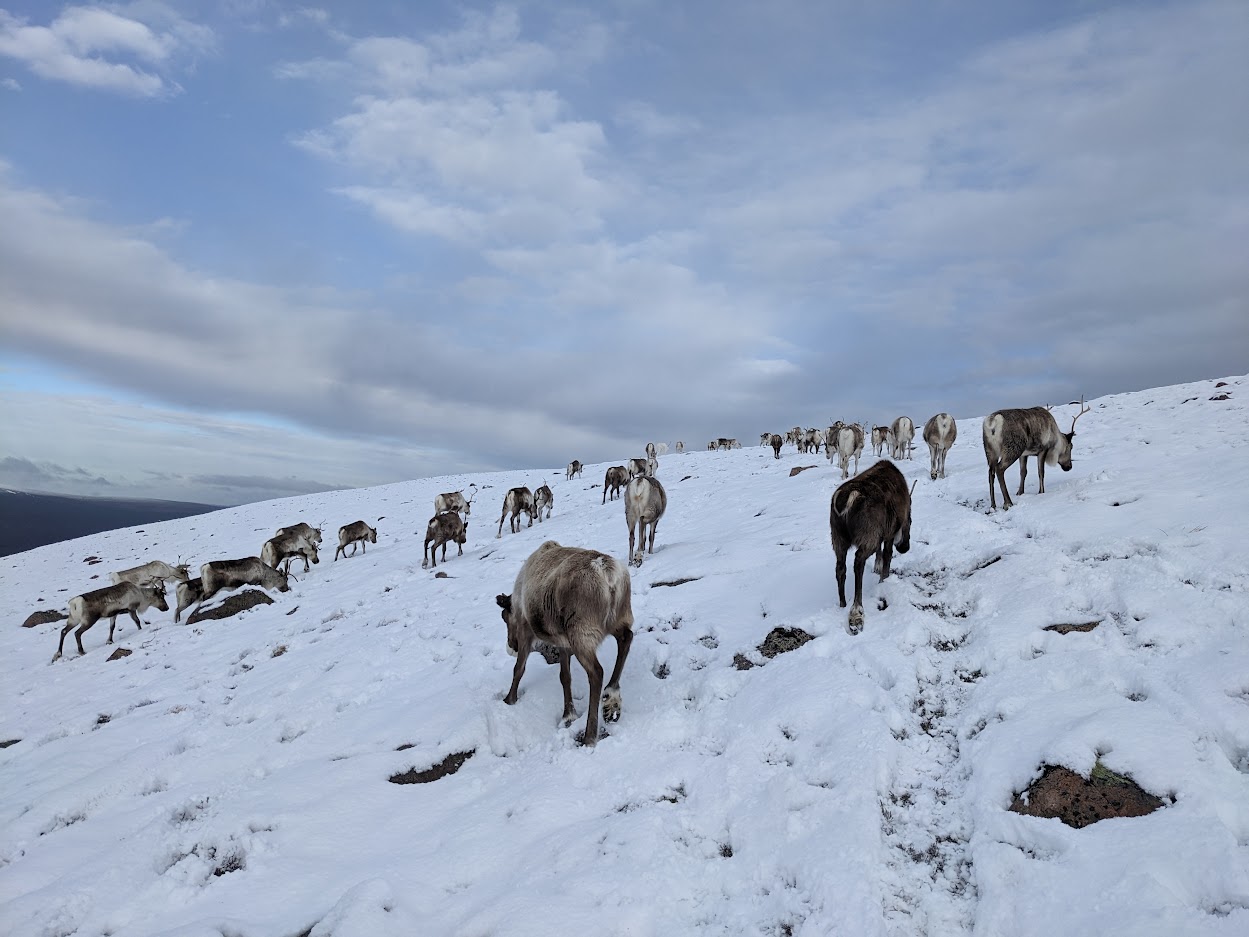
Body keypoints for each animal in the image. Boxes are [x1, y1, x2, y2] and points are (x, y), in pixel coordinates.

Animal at [496, 541, 634, 747]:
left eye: (505, 617)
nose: (511, 646)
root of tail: (608, 574)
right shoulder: (562, 641)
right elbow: (564, 677)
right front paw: (568, 714)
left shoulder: (525, 628)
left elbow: (519, 668)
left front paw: (509, 700)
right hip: (618, 618)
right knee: (627, 638)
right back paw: (611, 700)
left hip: (582, 633)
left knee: (597, 672)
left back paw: (589, 735)